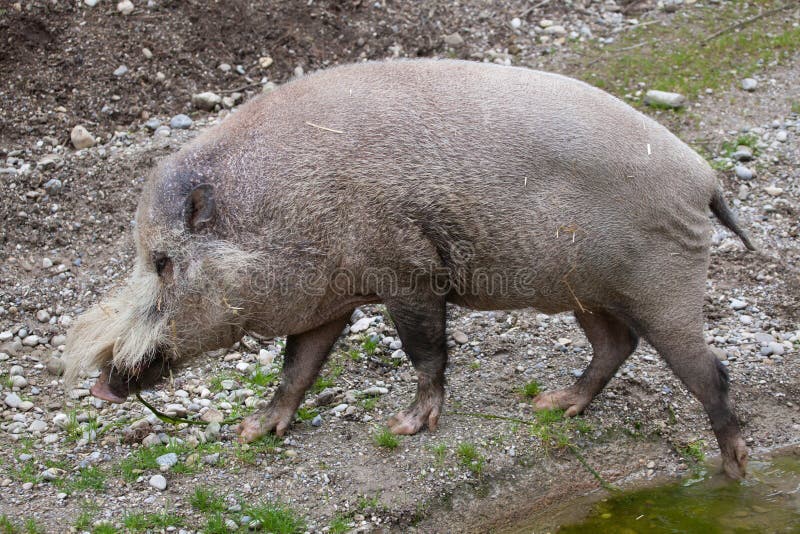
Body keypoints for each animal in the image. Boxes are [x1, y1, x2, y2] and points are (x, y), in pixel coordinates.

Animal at [64, 59, 754, 479]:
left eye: (162, 261)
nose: (96, 383)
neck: (284, 213)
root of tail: (706, 180)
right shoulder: (331, 299)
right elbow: (297, 367)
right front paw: (250, 433)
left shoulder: (409, 275)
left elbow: (425, 350)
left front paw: (406, 426)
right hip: (589, 292)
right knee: (617, 344)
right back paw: (552, 407)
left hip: (664, 286)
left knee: (708, 370)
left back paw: (733, 469)